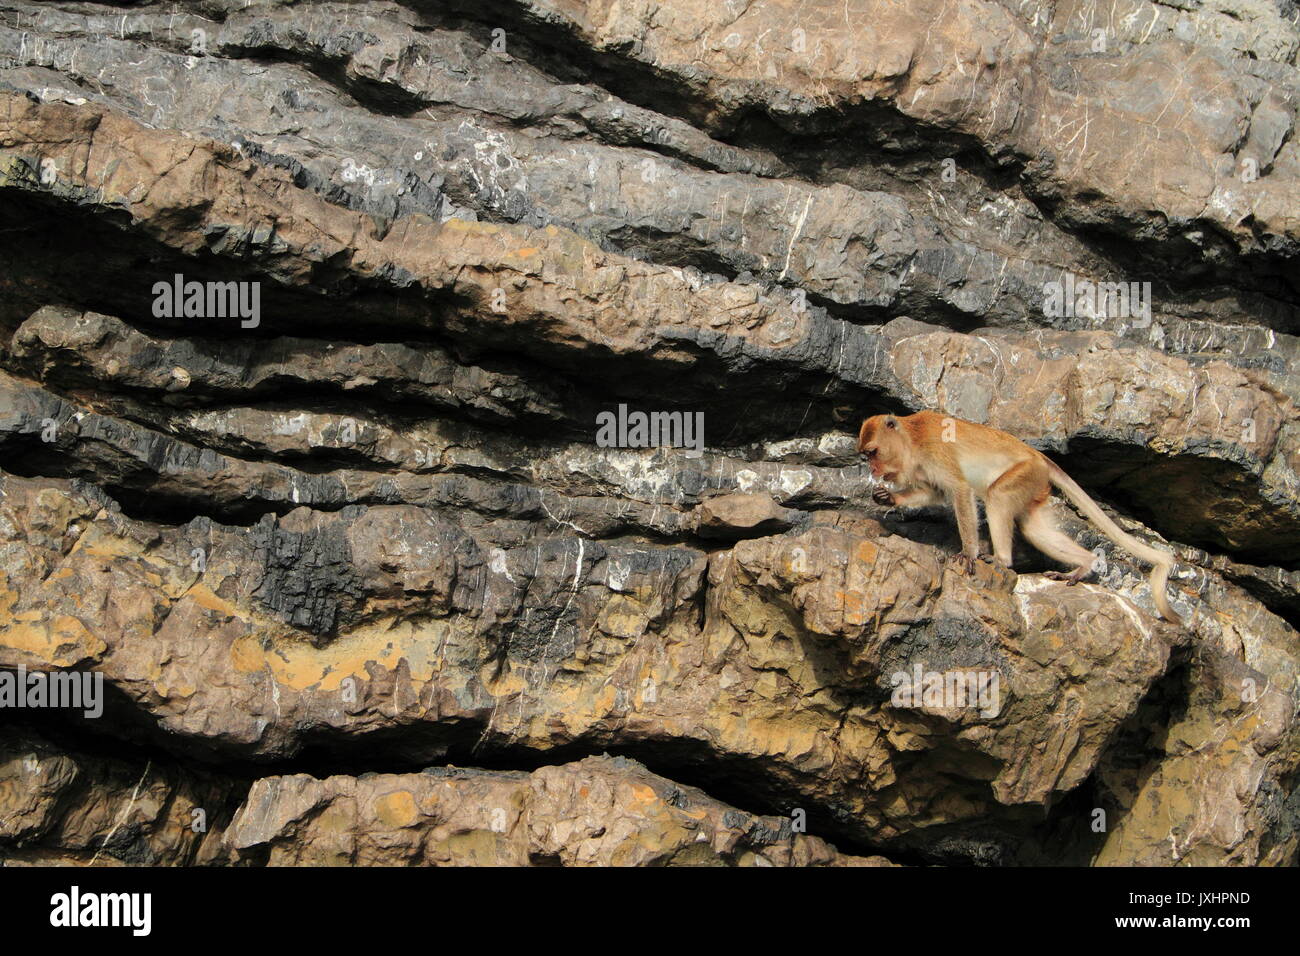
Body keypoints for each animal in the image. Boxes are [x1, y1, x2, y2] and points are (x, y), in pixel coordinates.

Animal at [857, 410, 1181, 625]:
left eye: (873, 453)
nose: (872, 471)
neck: (912, 438)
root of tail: (1039, 456)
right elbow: (933, 492)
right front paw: (891, 498)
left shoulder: (935, 451)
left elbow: (959, 490)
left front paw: (968, 553)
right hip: (1034, 487)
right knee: (1034, 530)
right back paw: (1083, 565)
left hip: (1024, 473)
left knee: (997, 496)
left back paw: (1002, 559)